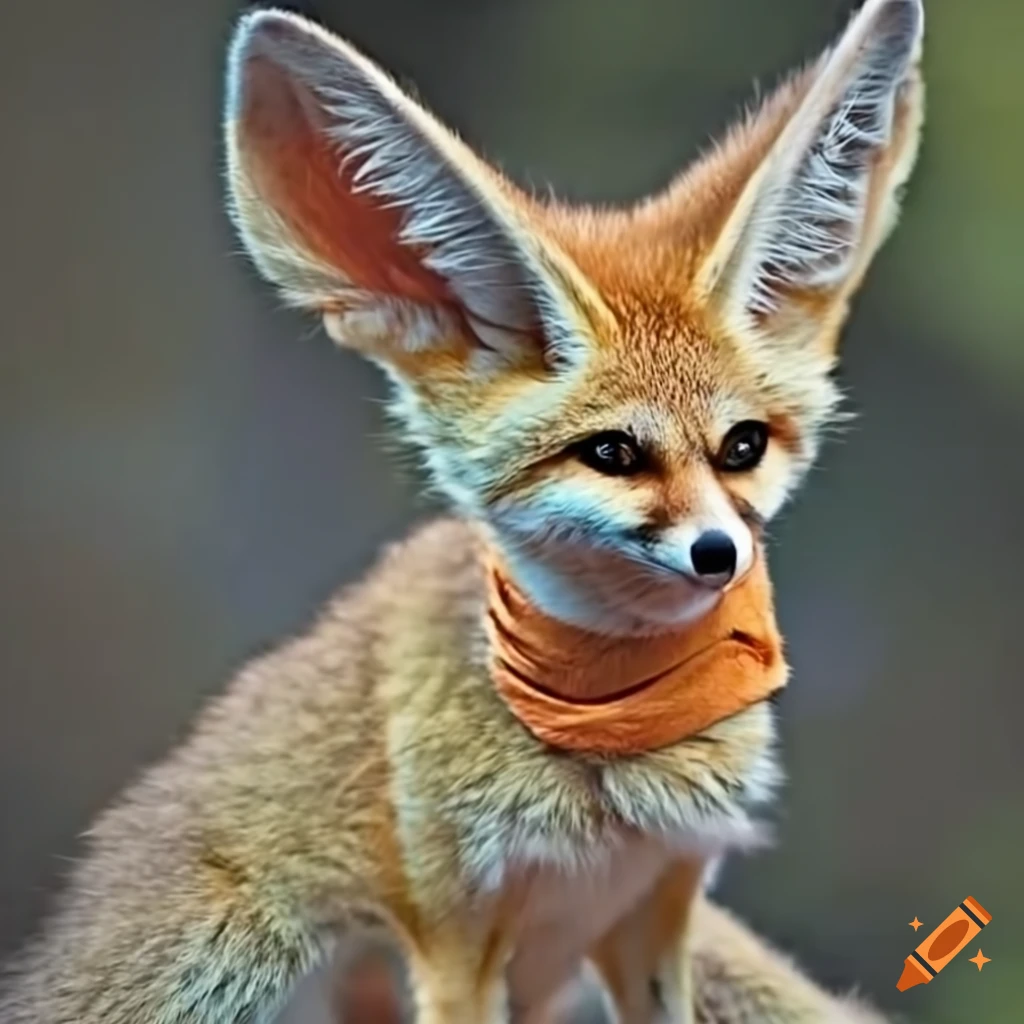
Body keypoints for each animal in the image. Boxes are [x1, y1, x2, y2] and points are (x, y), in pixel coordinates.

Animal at [0, 0, 925, 1022]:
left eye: (743, 448)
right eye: (612, 454)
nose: (720, 553)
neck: (609, 748)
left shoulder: (659, 901)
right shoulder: (453, 937)